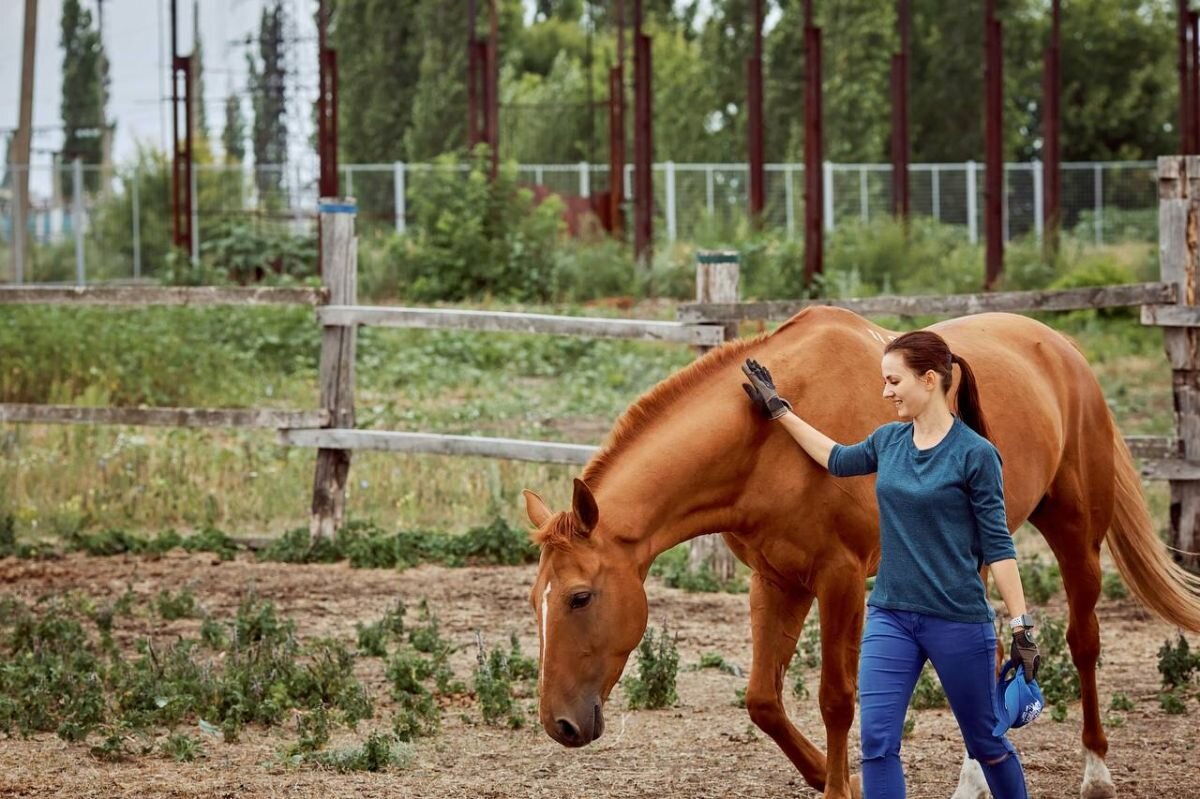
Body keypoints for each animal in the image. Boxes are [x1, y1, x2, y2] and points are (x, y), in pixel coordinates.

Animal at [525, 302, 1200, 791]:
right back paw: (975, 781)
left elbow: (836, 700)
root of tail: (1063, 350)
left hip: (1075, 535)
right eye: (537, 601)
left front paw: (838, 784)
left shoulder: (840, 579)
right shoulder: (776, 580)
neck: (762, 445)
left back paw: (1096, 773)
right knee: (985, 665)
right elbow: (763, 701)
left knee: (1083, 643)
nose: (559, 724)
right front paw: (833, 774)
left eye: (580, 598)